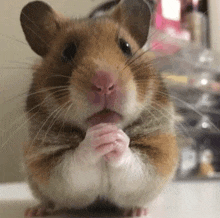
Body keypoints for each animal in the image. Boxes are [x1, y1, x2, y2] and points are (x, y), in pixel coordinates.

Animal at [20, 0, 179, 217]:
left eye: (126, 46)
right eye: (67, 51)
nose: (104, 83)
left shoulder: (157, 153)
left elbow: (134, 163)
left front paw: (115, 137)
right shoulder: (48, 161)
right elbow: (76, 161)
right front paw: (100, 135)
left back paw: (138, 210)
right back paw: (36, 210)